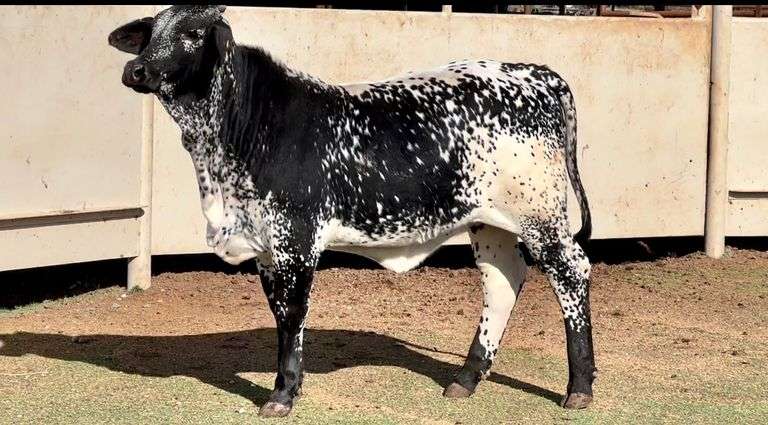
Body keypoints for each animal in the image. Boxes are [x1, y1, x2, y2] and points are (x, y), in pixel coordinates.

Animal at [109, 5, 597, 417]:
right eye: (151, 32)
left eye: (192, 33)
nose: (136, 70)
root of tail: (535, 73)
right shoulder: (265, 249)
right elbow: (280, 315)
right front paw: (291, 385)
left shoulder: (295, 242)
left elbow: (292, 315)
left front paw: (282, 395)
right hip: (489, 221)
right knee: (502, 280)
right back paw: (466, 379)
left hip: (541, 215)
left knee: (572, 274)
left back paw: (579, 387)